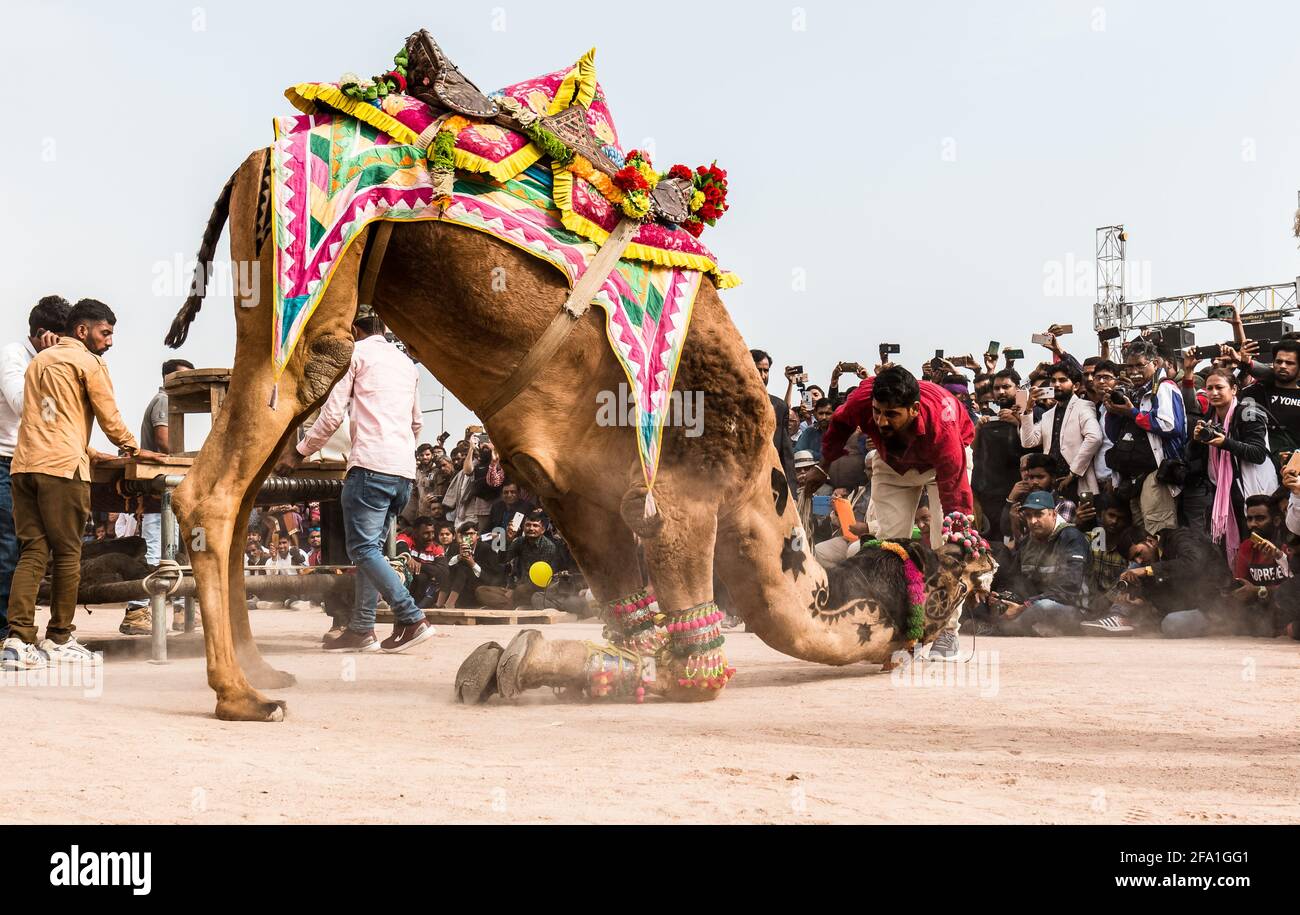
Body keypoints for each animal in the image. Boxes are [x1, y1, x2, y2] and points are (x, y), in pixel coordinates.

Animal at [165, 148, 995, 720]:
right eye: (948, 578)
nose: (964, 603)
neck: (764, 498)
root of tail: (254, 159)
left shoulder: (575, 489)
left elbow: (631, 626)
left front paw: (510, 662)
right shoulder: (683, 499)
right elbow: (692, 663)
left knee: (250, 488)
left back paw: (263, 671)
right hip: (302, 282)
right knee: (217, 483)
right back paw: (241, 695)